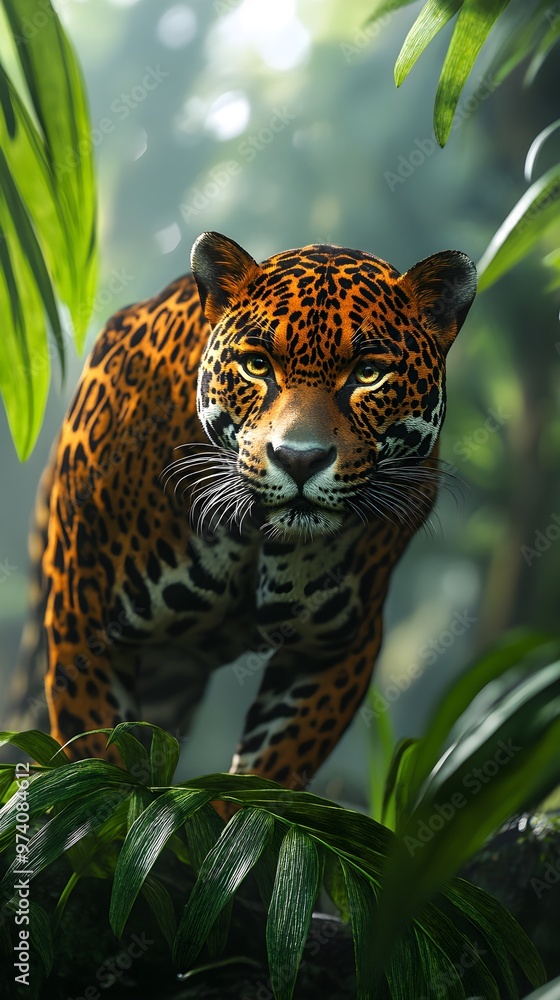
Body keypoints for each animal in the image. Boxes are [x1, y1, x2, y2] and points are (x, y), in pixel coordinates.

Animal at [5, 232, 476, 793]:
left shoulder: (337, 649)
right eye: (257, 366)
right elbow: (99, 772)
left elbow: (265, 782)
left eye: (368, 374)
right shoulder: (84, 632)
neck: (252, 536)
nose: (299, 458)